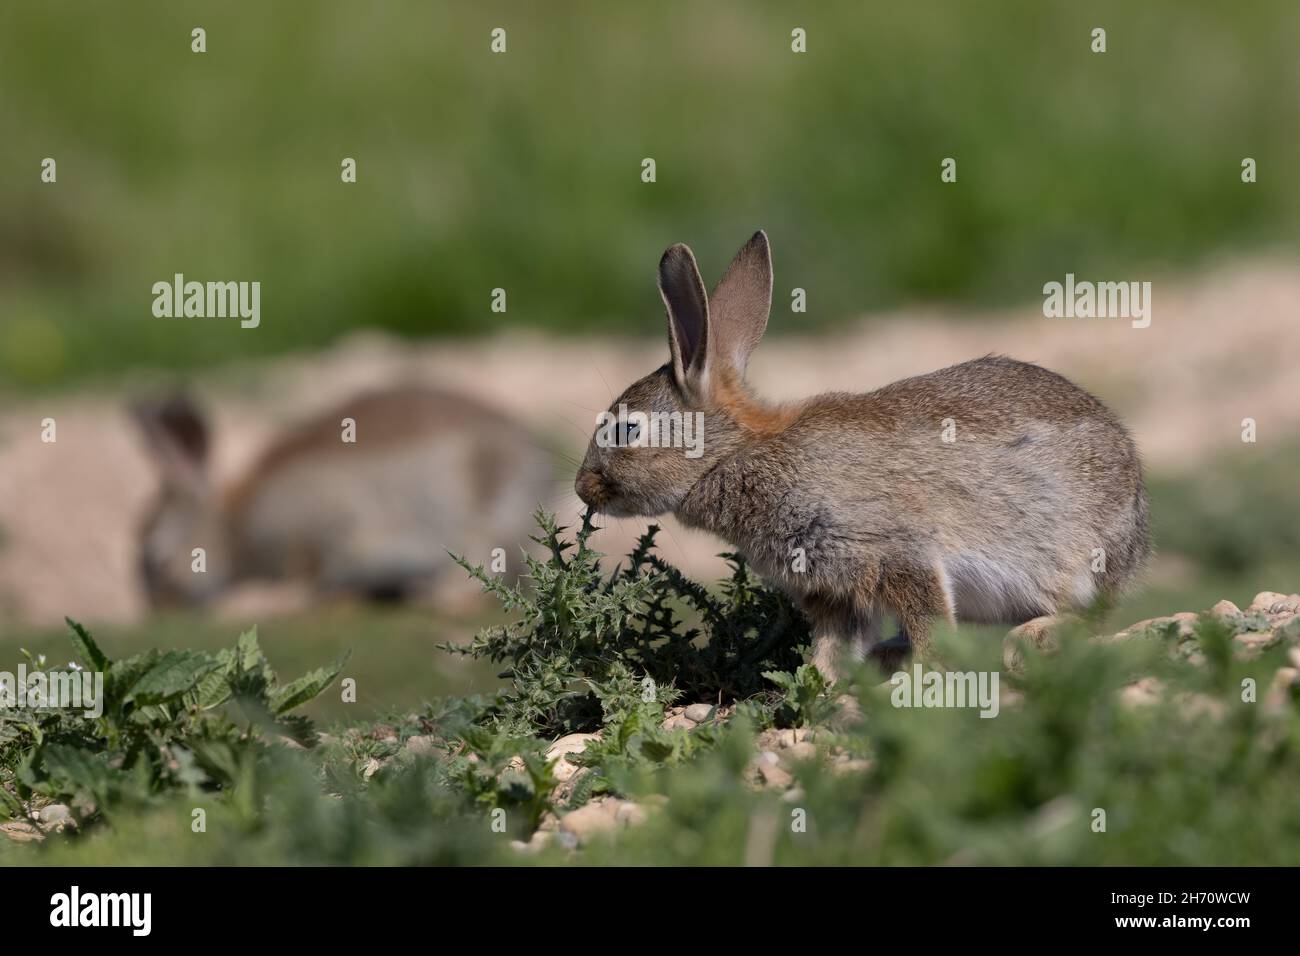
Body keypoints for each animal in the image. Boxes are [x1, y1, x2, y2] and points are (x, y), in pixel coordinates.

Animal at [575, 231, 1149, 680]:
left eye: (627, 429)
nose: (583, 488)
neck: (733, 454)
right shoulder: (834, 592)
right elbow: (835, 644)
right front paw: (822, 686)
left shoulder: (897, 550)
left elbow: (927, 616)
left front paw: (933, 673)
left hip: (1072, 561)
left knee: (1092, 620)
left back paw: (1031, 640)